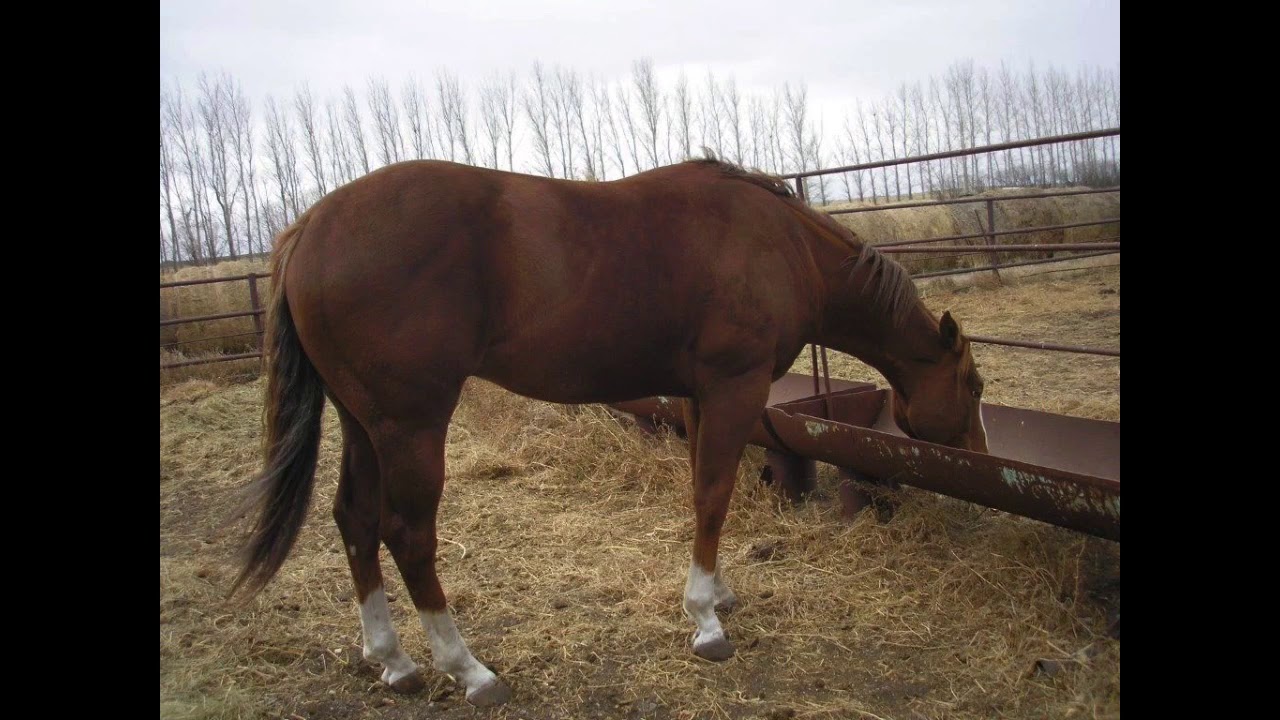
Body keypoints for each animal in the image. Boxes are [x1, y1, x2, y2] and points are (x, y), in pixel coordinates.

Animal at [231, 157, 988, 706]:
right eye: (975, 387)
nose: (978, 462)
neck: (782, 244)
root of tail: (309, 228)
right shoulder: (734, 387)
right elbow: (714, 495)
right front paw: (706, 623)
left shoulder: (697, 396)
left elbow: (703, 493)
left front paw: (716, 595)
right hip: (410, 425)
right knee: (408, 536)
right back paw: (468, 670)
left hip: (363, 422)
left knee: (355, 520)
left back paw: (392, 661)